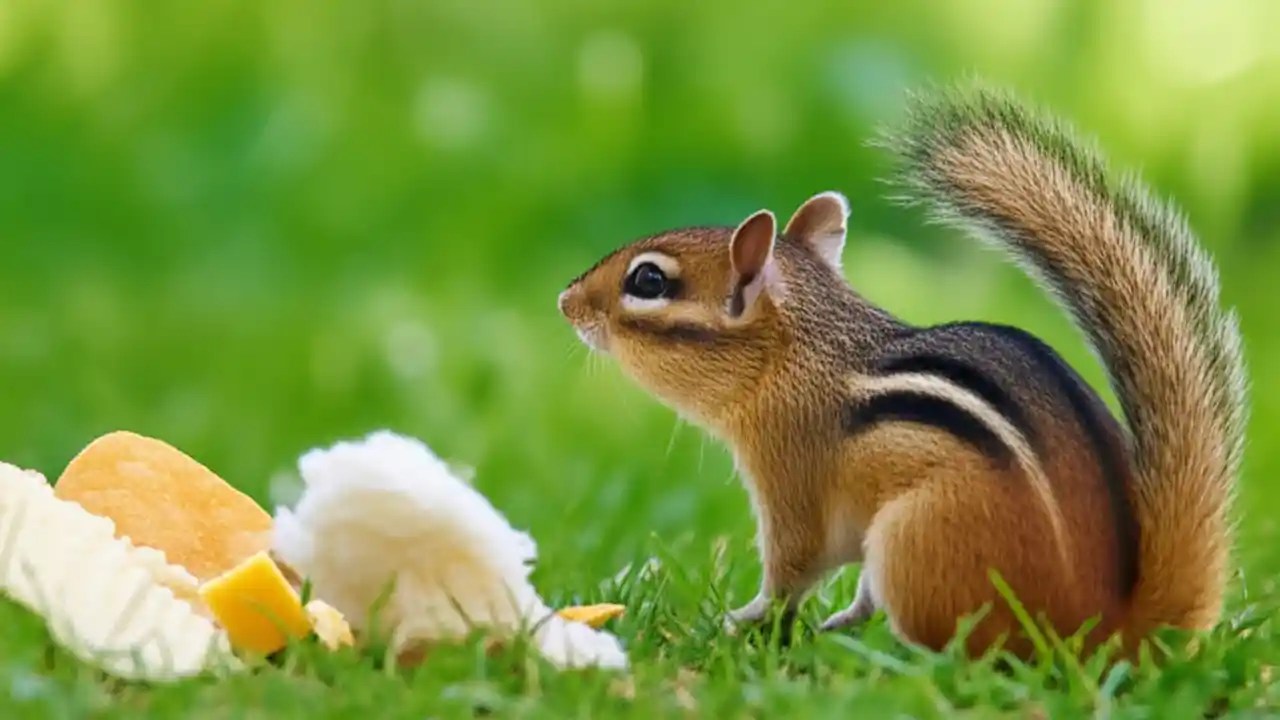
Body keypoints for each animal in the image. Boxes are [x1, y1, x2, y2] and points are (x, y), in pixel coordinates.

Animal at [557, 84, 1248, 658]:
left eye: (648, 281)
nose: (566, 302)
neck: (801, 355)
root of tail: (1113, 627)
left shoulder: (791, 473)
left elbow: (795, 565)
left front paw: (740, 621)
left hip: (917, 540)